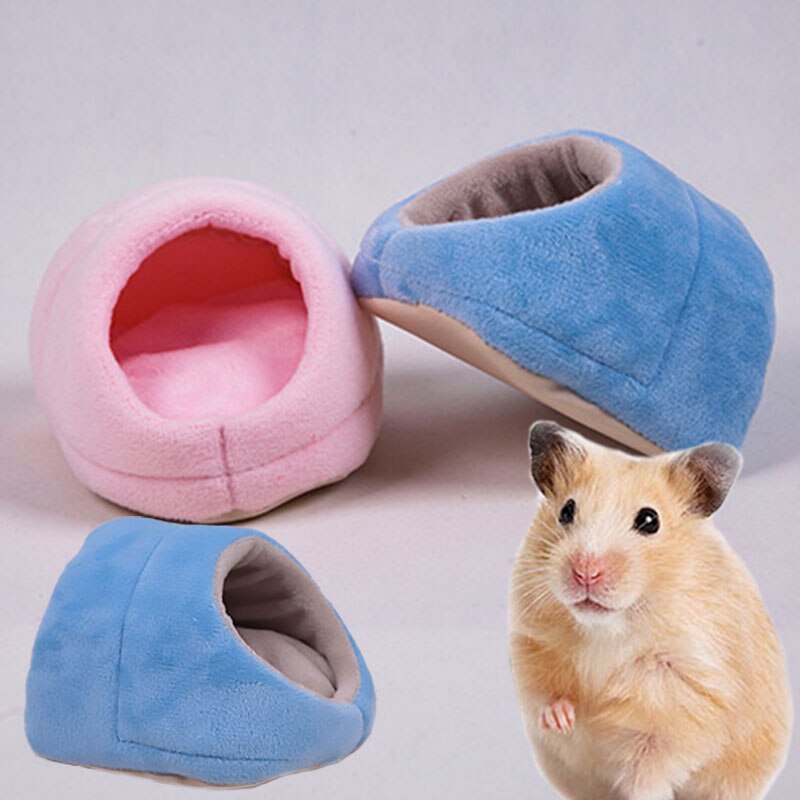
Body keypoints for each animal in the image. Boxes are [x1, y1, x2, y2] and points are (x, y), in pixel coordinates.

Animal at [509, 421, 792, 800]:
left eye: (649, 520)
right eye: (566, 511)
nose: (585, 572)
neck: (607, 628)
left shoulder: (687, 697)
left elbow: (650, 763)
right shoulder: (531, 641)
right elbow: (545, 691)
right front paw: (564, 721)